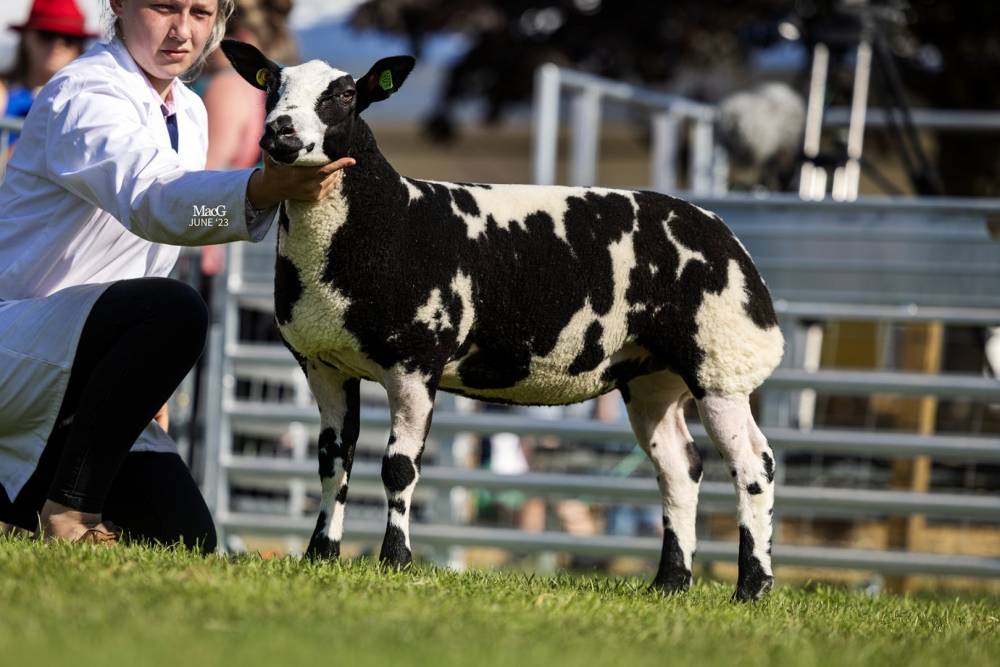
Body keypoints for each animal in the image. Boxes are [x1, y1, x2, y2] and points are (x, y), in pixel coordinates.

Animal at [221, 40, 785, 602]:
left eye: (342, 95)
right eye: (272, 86)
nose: (280, 132)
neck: (385, 216)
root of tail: (725, 235)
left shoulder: (416, 363)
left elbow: (399, 467)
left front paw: (395, 560)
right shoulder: (323, 363)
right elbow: (333, 459)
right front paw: (320, 554)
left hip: (720, 363)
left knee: (754, 465)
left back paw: (752, 587)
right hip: (653, 376)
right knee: (679, 469)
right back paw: (671, 583)